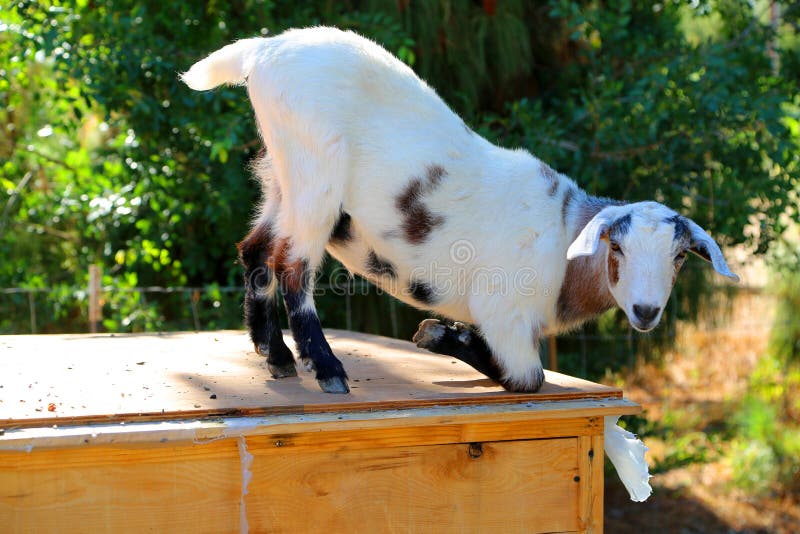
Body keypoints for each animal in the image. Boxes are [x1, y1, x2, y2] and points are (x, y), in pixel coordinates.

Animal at [182, 27, 739, 394]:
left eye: (681, 257)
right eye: (616, 247)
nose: (645, 312)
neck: (563, 235)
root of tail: (261, 49)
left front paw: (444, 334)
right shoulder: (506, 313)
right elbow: (527, 378)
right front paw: (437, 335)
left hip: (281, 177)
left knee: (255, 250)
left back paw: (273, 354)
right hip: (314, 171)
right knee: (292, 266)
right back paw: (326, 368)